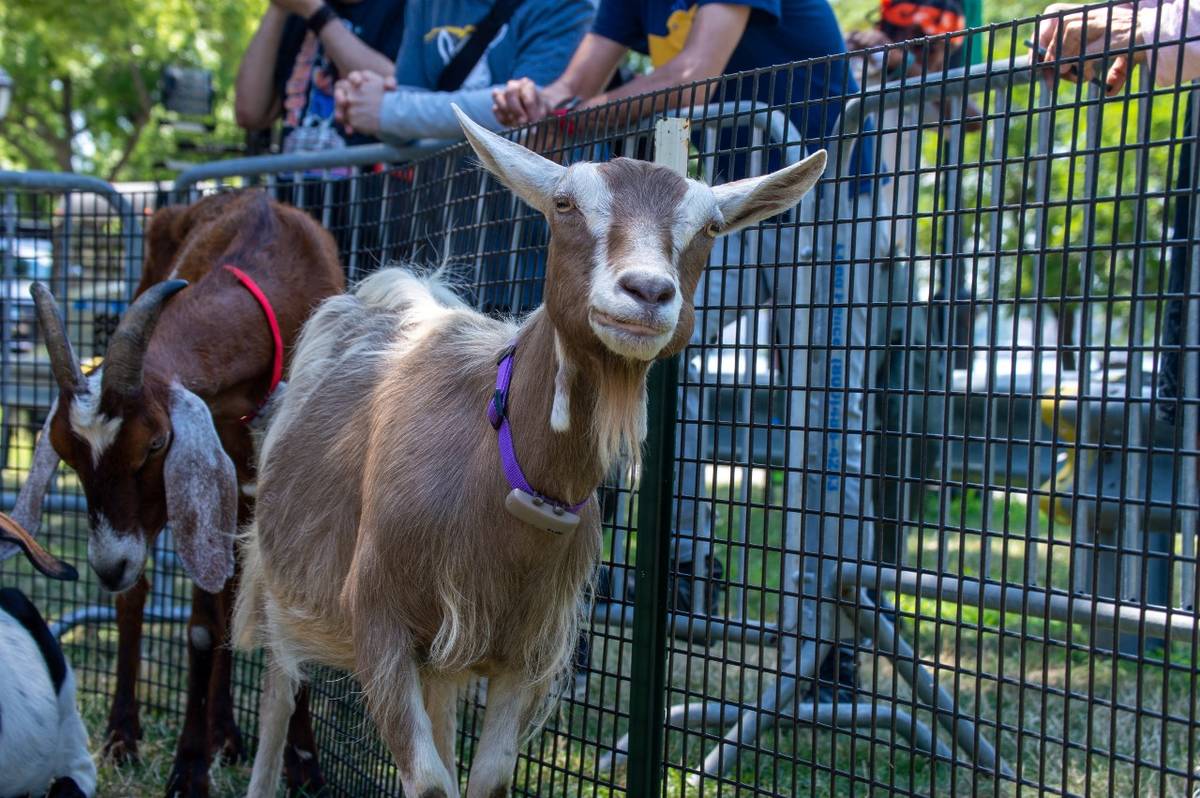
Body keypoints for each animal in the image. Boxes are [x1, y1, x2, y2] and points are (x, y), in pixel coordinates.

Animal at [12, 191, 345, 796]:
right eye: (67, 454)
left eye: (154, 445)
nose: (109, 566)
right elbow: (201, 629)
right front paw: (189, 768)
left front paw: (305, 763)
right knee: (142, 600)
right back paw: (125, 735)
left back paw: (228, 735)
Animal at [235, 107, 826, 798]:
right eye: (564, 203)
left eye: (710, 226)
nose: (647, 291)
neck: (500, 469)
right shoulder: (378, 621)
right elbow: (429, 782)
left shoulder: (525, 648)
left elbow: (486, 778)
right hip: (280, 578)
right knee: (279, 691)